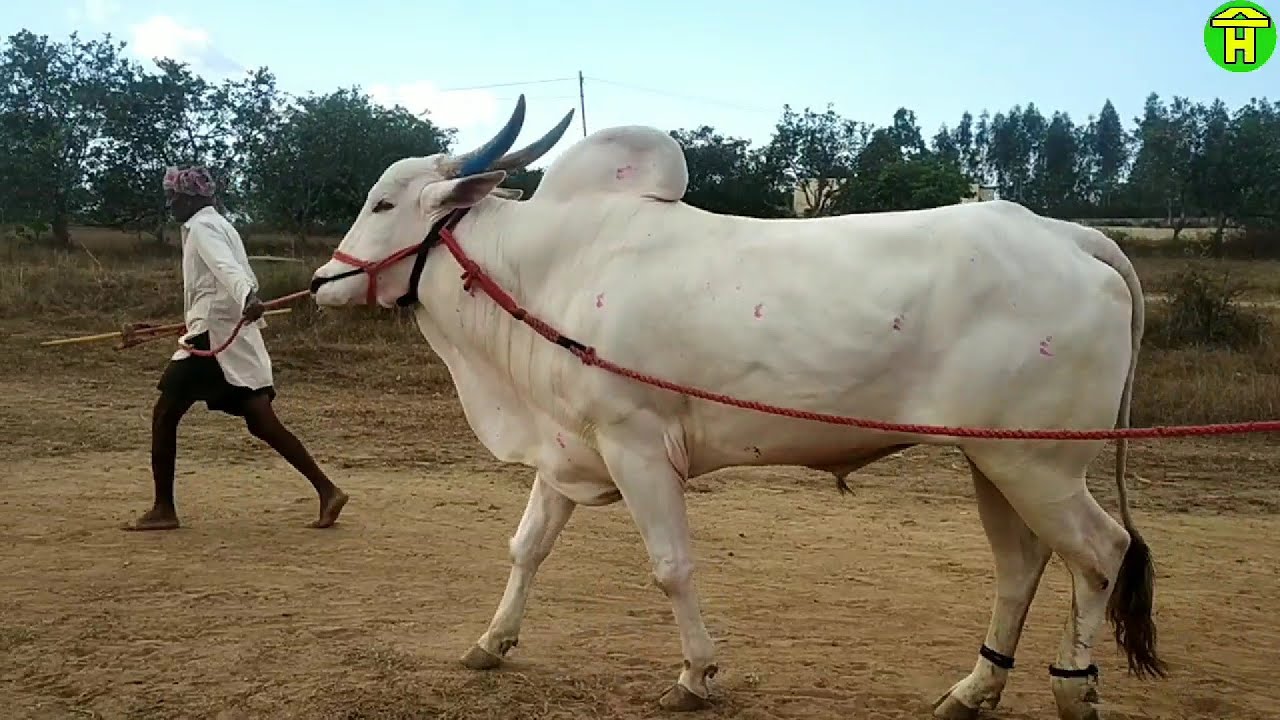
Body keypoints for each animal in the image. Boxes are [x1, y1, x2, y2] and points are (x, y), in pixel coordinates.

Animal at [309, 95, 1164, 720]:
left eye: (382, 203)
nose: (322, 282)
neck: (545, 269)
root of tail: (1071, 235)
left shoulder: (635, 445)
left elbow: (671, 567)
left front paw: (695, 675)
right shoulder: (567, 449)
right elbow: (527, 549)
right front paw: (491, 642)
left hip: (1040, 465)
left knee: (1102, 553)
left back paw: (1073, 688)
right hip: (994, 459)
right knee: (1021, 567)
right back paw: (973, 689)